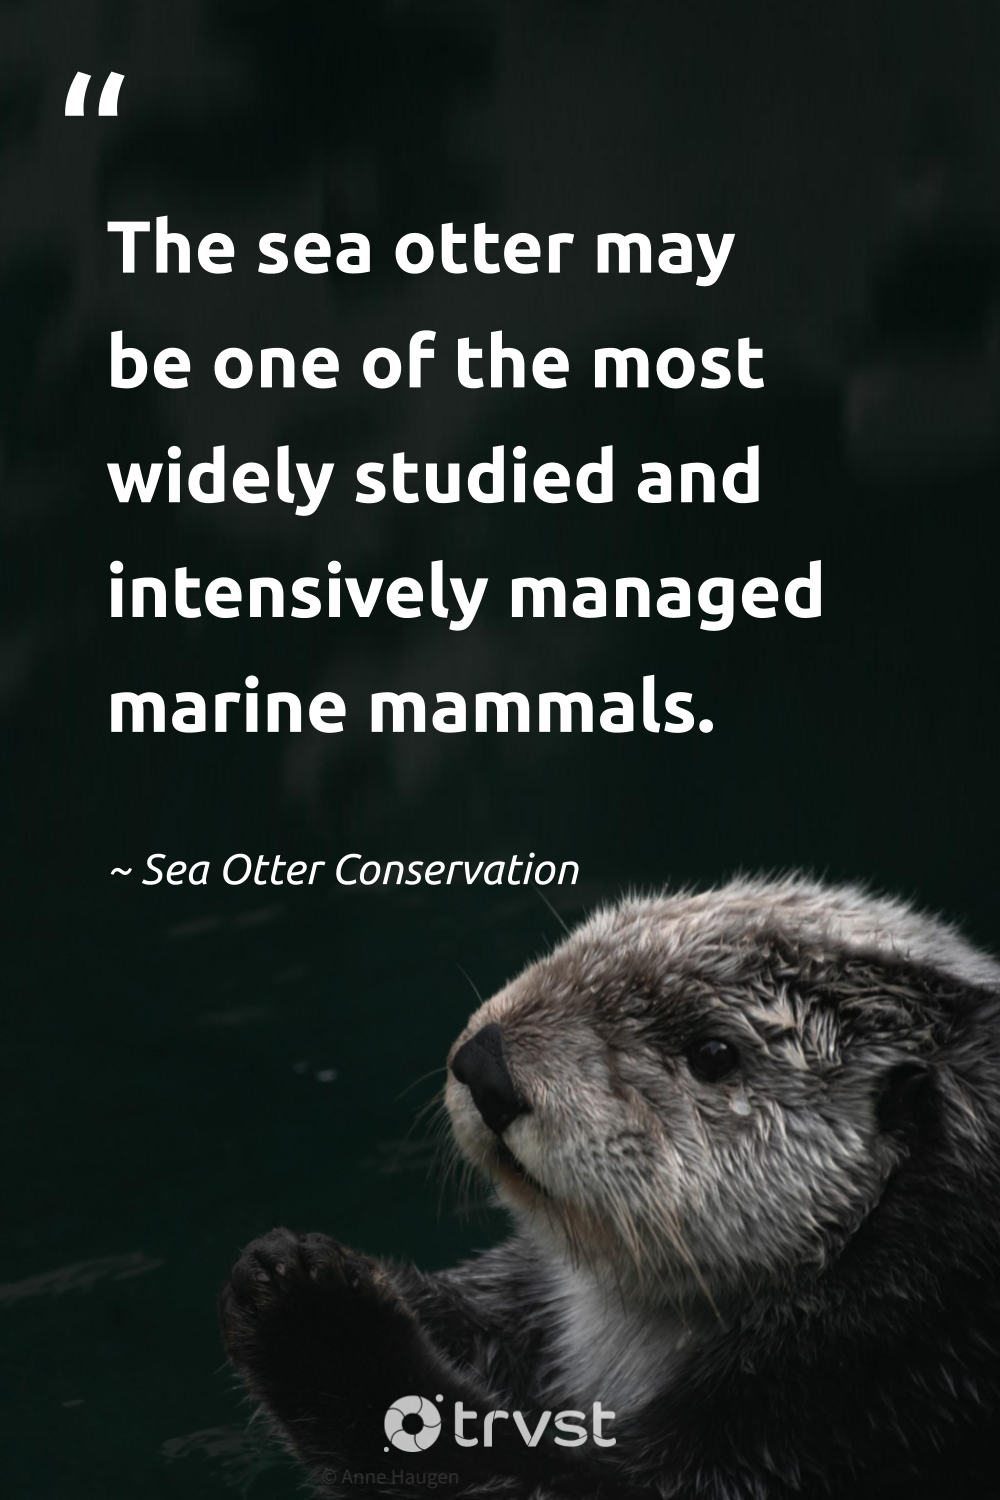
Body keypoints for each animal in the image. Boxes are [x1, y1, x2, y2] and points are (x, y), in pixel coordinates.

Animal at [220, 876, 1000, 1498]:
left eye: (712, 1054)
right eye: (587, 940)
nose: (486, 1068)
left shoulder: (844, 1406)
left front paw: (313, 1306)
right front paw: (282, 1262)